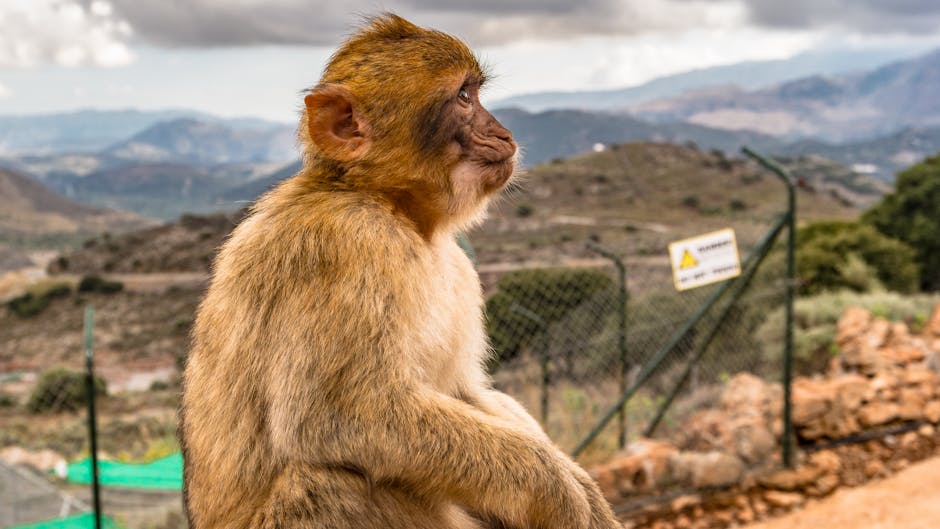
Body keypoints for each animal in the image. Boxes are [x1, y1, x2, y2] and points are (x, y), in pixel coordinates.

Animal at [182, 12, 624, 528]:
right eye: (463, 97)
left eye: (476, 92)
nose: (503, 132)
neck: (393, 207)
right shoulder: (347, 245)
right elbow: (343, 418)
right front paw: (559, 493)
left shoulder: (456, 266)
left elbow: (462, 391)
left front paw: (584, 488)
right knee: (326, 481)